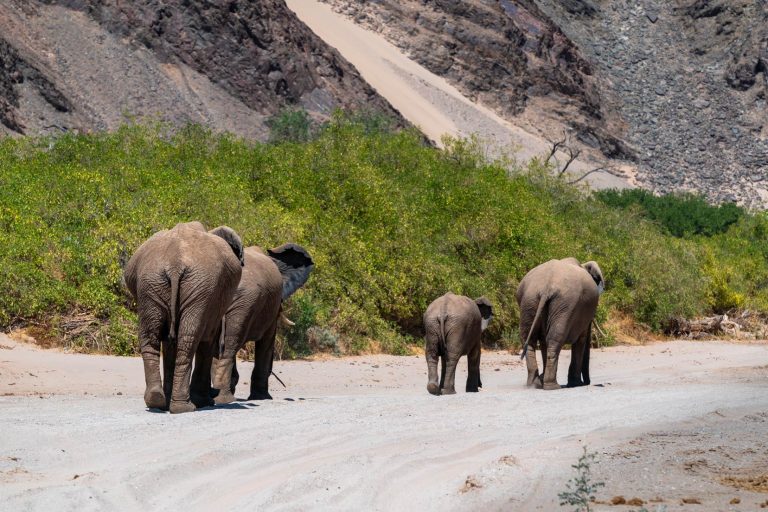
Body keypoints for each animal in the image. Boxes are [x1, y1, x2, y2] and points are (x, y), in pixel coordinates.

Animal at [124, 221, 244, 413]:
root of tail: (175, 263)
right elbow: (208, 340)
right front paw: (204, 402)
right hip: (197, 287)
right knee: (188, 340)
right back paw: (185, 407)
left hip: (153, 283)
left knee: (152, 338)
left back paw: (157, 401)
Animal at [515, 257, 604, 390]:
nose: (587, 382)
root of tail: (546, 288)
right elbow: (580, 340)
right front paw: (576, 384)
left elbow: (543, 340)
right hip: (564, 304)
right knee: (554, 340)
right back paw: (552, 386)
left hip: (529, 301)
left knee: (530, 341)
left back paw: (534, 385)